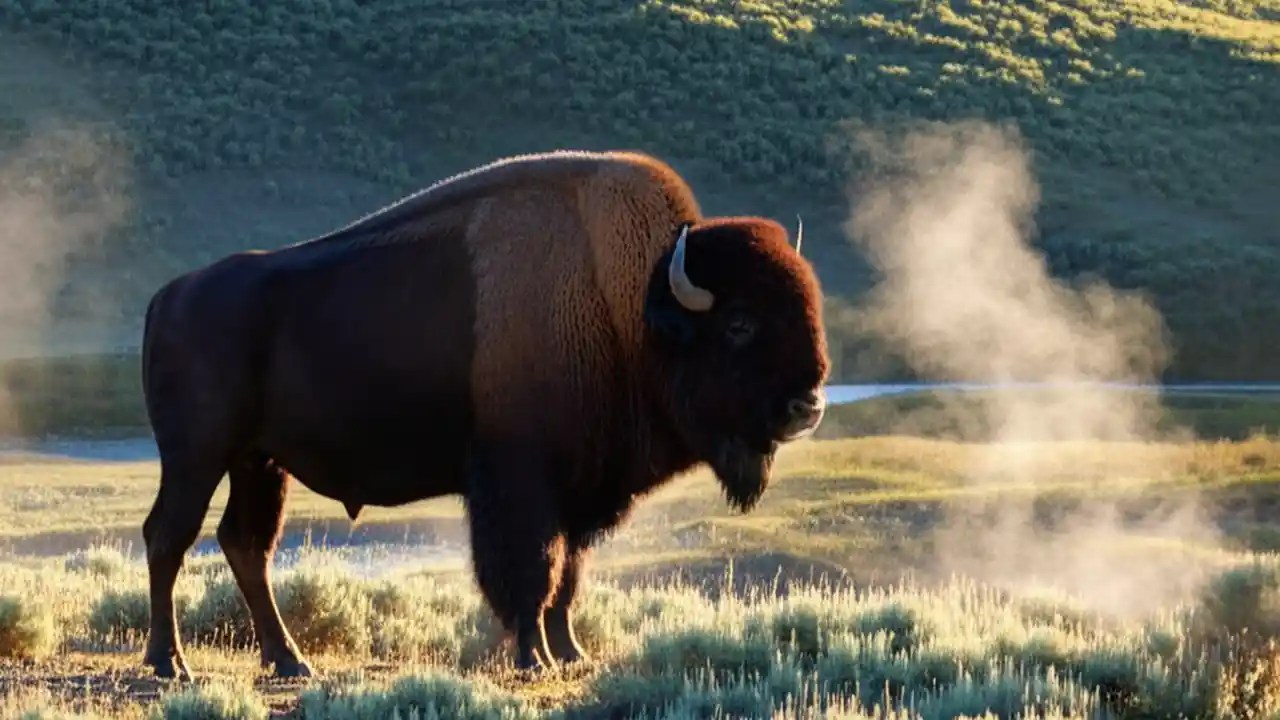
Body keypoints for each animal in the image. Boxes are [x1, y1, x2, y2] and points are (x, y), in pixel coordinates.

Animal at [138, 149, 829, 681]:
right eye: (739, 324)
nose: (809, 405)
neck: (630, 306)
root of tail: (169, 296)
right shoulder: (519, 483)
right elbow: (531, 572)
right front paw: (534, 658)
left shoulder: (576, 493)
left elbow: (568, 577)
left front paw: (571, 653)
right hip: (197, 457)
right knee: (169, 536)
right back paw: (171, 663)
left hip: (260, 463)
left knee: (244, 543)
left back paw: (289, 661)